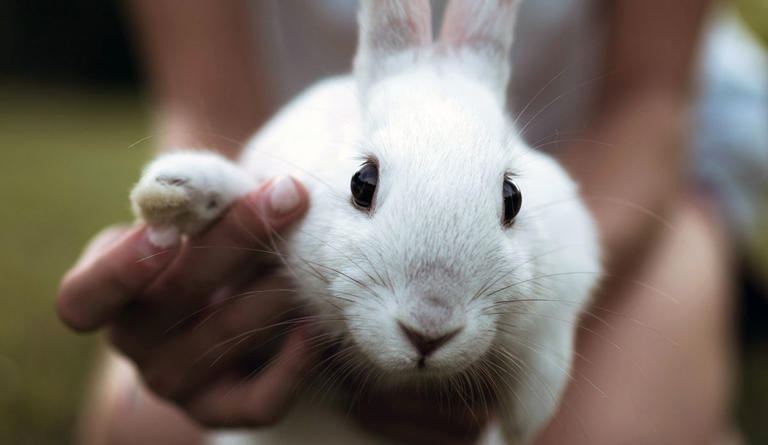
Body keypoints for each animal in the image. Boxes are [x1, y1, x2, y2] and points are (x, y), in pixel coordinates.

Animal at [130, 0, 602, 444]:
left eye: (512, 197)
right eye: (362, 182)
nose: (428, 330)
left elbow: (547, 345)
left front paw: (528, 415)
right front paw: (174, 192)